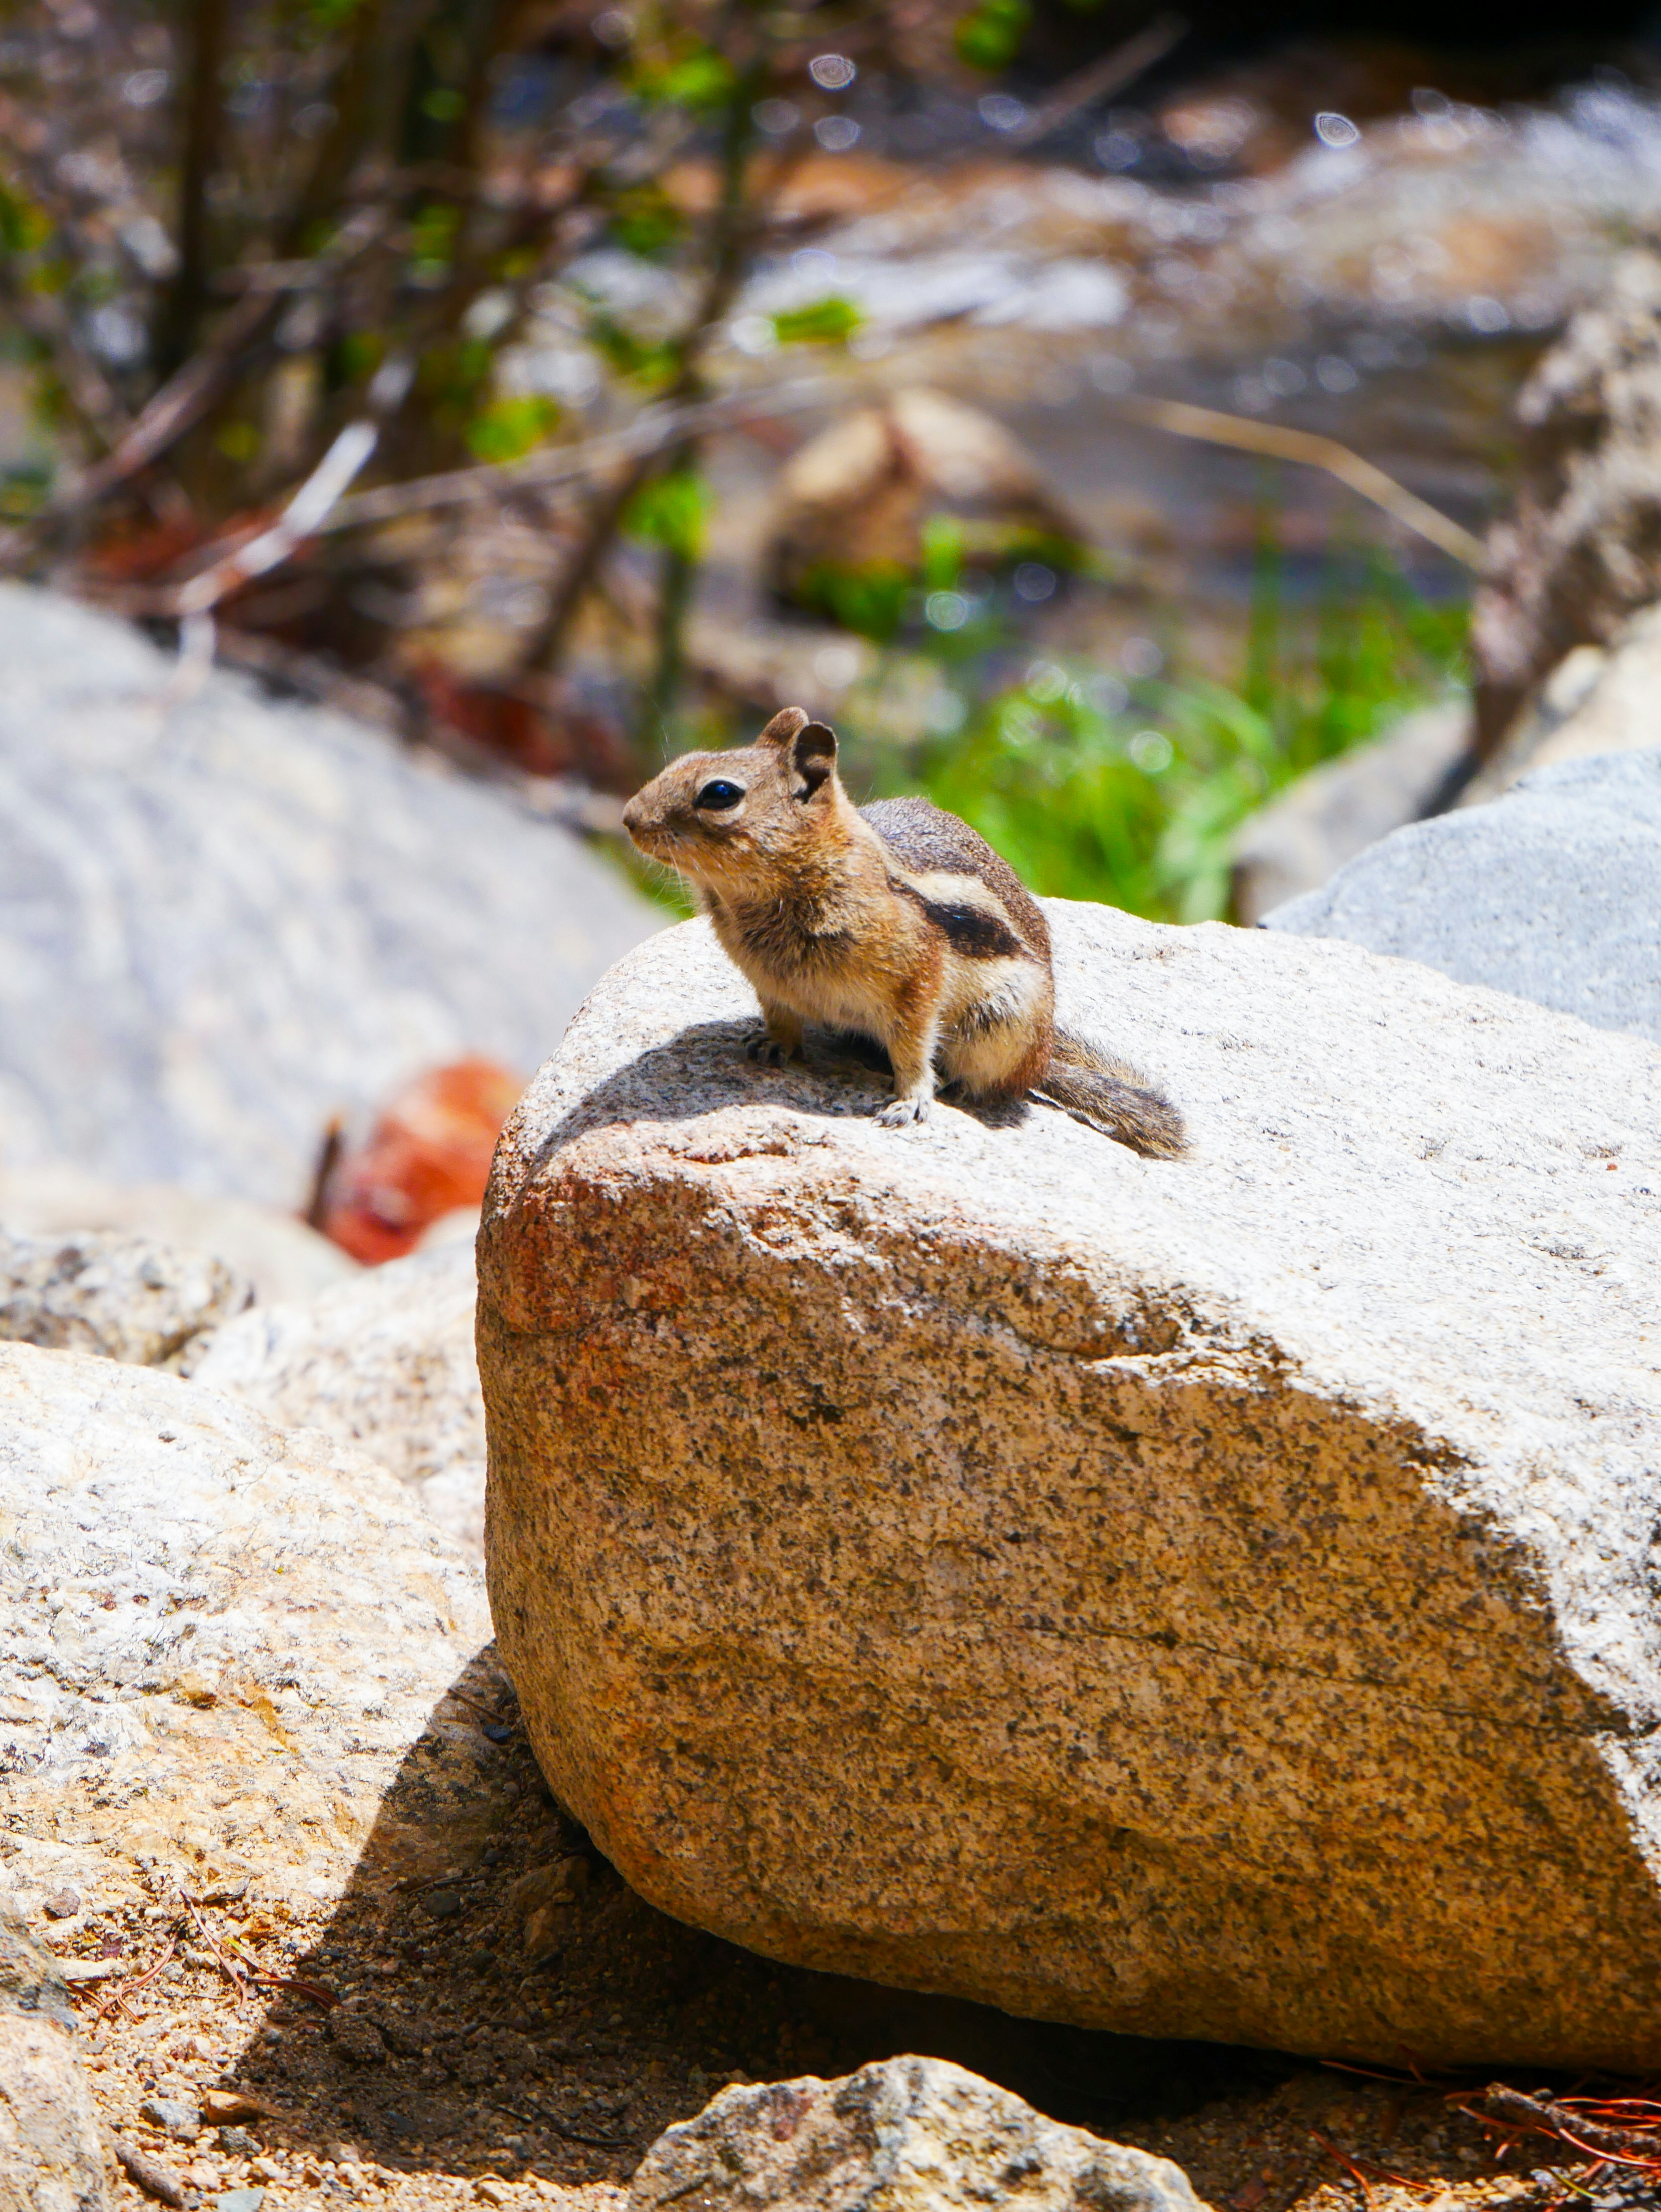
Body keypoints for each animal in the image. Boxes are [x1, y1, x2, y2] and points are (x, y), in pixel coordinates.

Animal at [621, 705, 1185, 1159]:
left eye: (720, 793)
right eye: (681, 760)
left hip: (1000, 1020)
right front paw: (772, 1043)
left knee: (995, 1083)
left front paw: (911, 1099)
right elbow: (780, 1016)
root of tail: (1043, 1058)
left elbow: (913, 1043)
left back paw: (956, 1083)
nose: (627, 818)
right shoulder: (769, 981)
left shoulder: (916, 973)